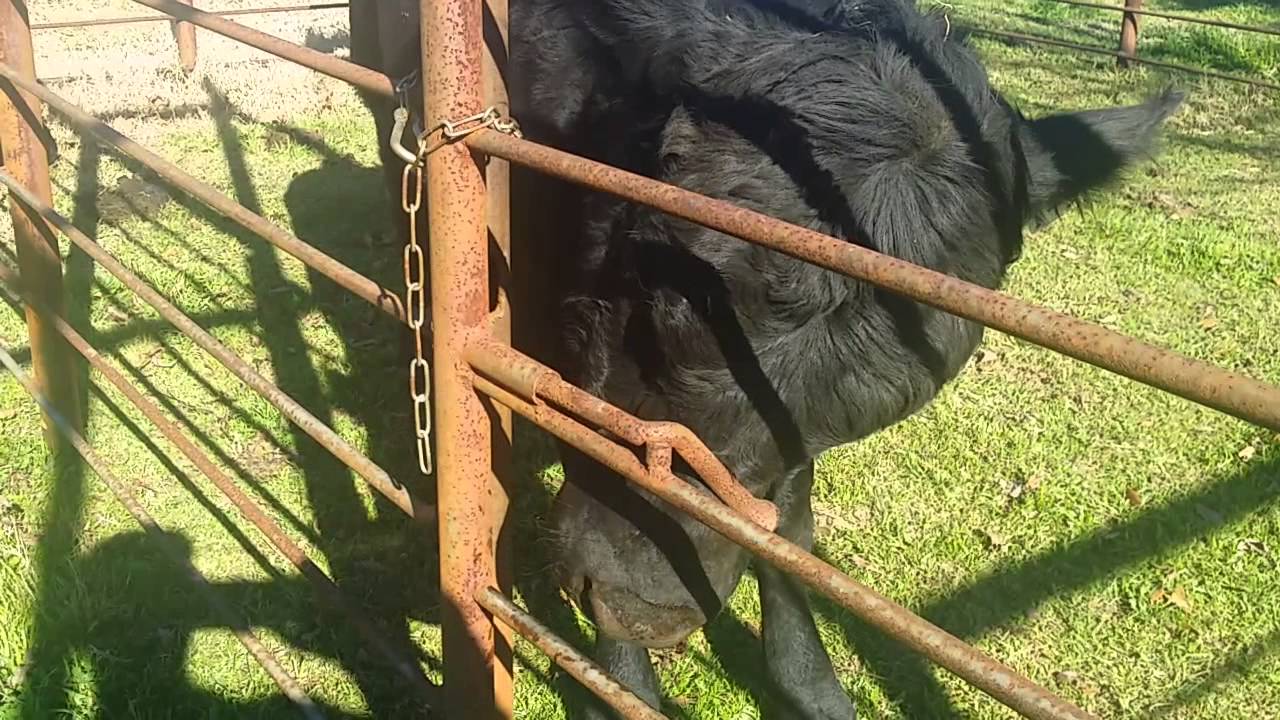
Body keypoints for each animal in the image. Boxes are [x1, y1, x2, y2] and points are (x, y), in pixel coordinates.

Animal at [350, 0, 1182, 717]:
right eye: (662, 310)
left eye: (863, 414)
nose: (639, 604)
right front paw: (618, 686)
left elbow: (789, 524)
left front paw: (811, 686)